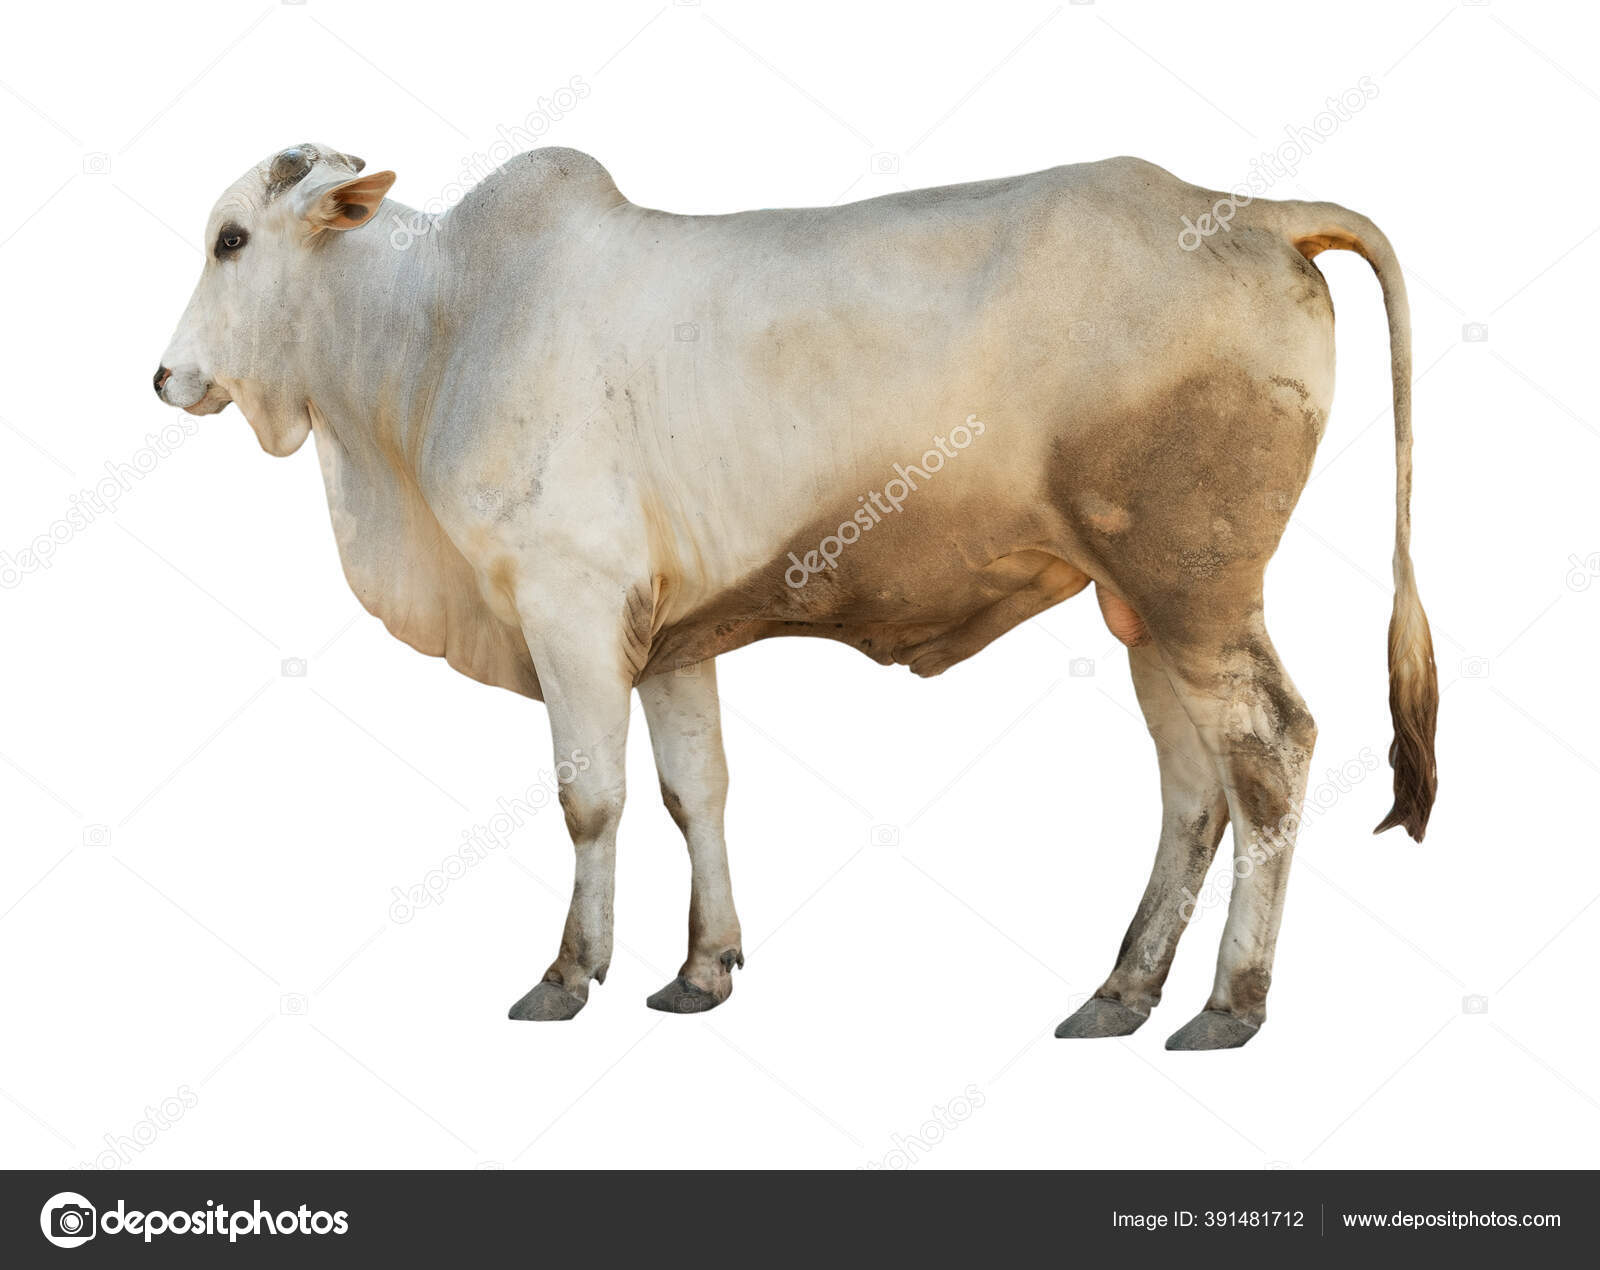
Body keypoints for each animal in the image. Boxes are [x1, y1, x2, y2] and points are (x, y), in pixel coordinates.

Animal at [154, 142, 1436, 1049]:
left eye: (231, 238)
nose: (166, 376)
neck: (437, 328)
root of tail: (1249, 208)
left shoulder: (569, 610)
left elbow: (591, 801)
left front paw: (569, 972)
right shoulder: (669, 637)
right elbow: (696, 792)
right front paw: (701, 966)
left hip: (1198, 590)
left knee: (1270, 750)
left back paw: (1229, 1002)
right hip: (1141, 605)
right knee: (1191, 784)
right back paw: (1120, 989)